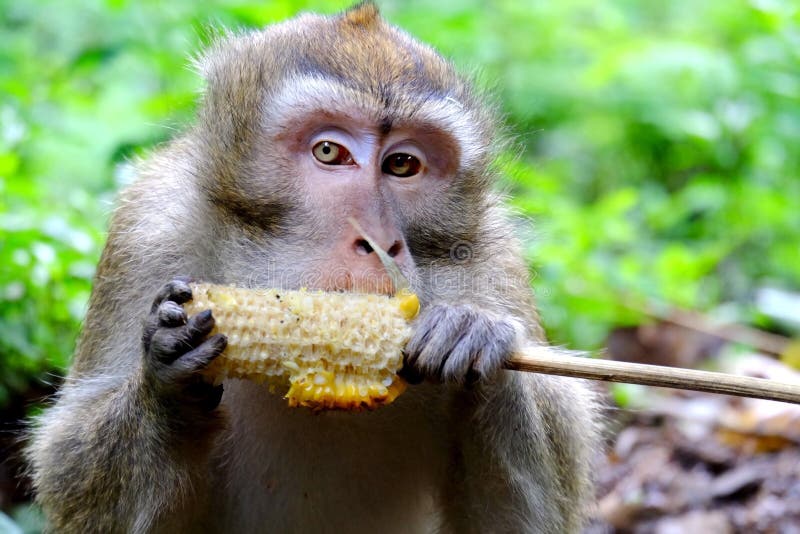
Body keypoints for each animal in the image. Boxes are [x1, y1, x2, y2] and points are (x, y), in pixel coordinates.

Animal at [27, 3, 600, 533]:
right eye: (329, 151)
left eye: (403, 164)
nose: (381, 242)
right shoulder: (147, 229)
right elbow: (64, 461)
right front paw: (167, 379)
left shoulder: (494, 257)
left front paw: (475, 335)